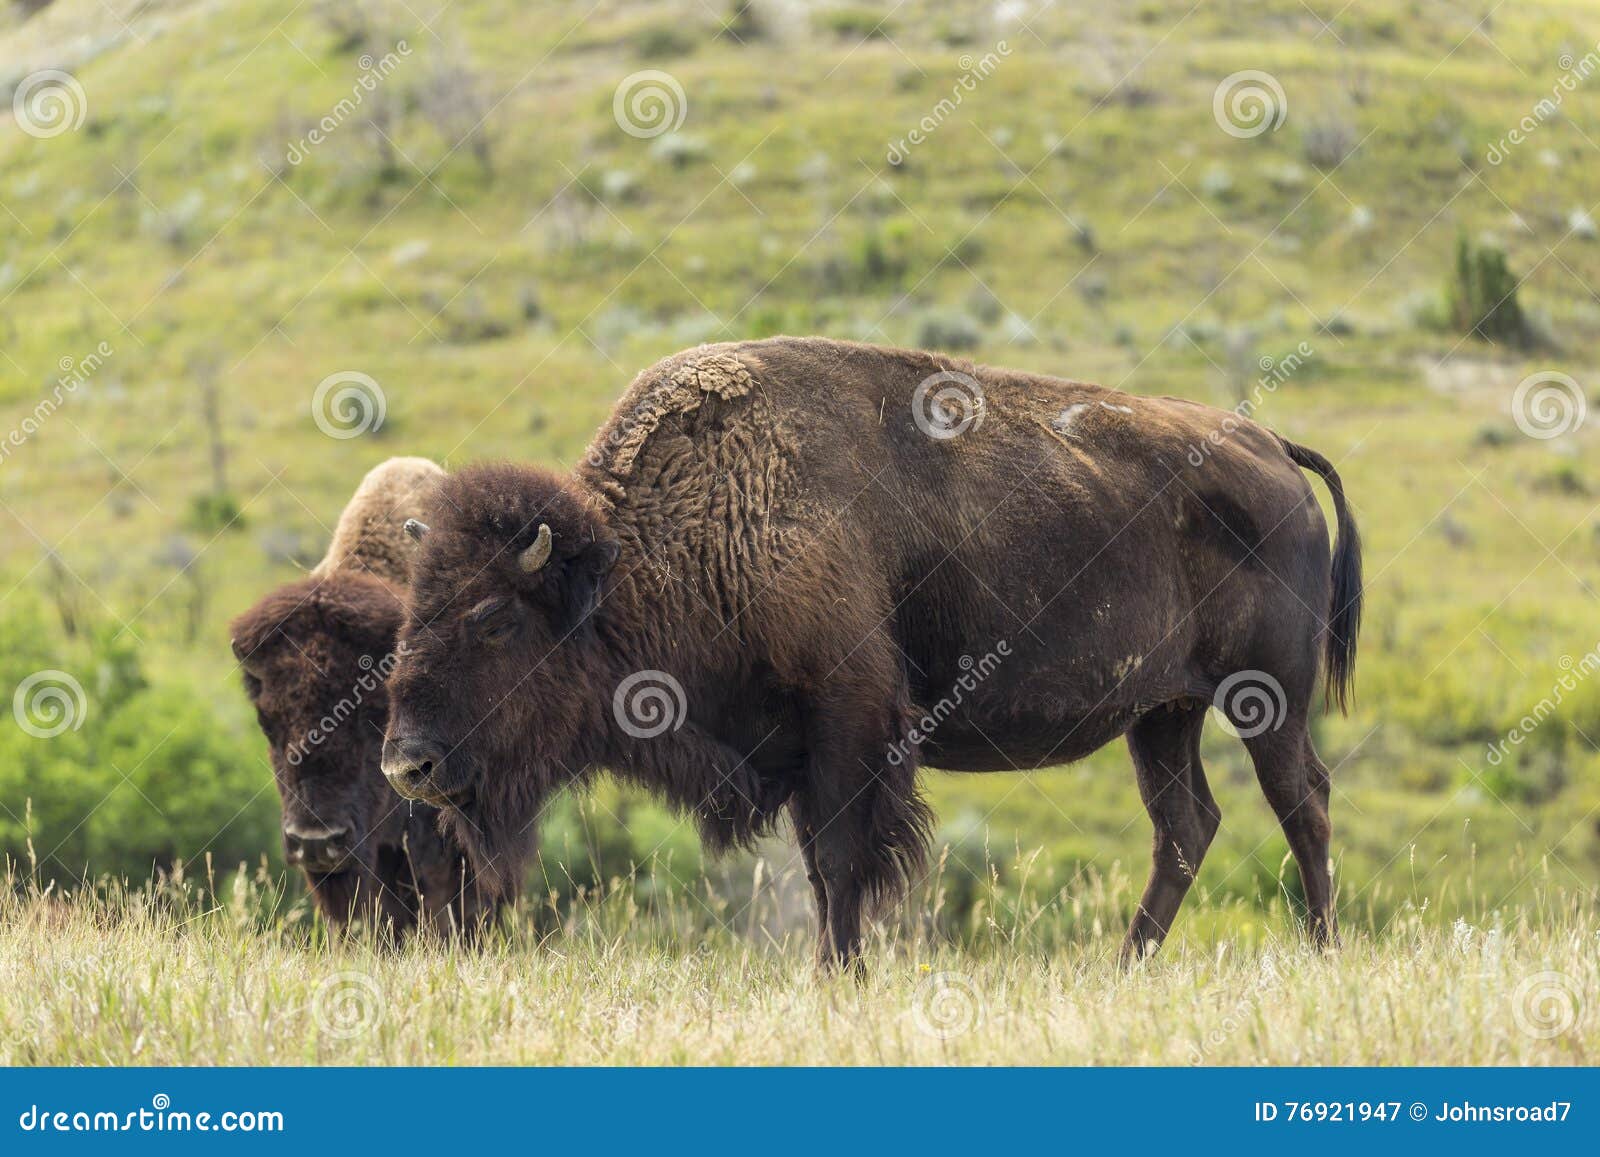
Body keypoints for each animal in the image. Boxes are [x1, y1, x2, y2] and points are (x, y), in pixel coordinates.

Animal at [380, 338, 1361, 967]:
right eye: (412, 612)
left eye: (495, 619)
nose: (406, 764)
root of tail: (1272, 450)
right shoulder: (801, 751)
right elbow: (824, 867)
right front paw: (834, 966)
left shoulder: (848, 723)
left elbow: (846, 859)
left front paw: (837, 971)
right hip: (1163, 713)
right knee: (1185, 826)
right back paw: (1126, 964)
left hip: (1265, 695)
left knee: (1301, 801)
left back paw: (1320, 951)